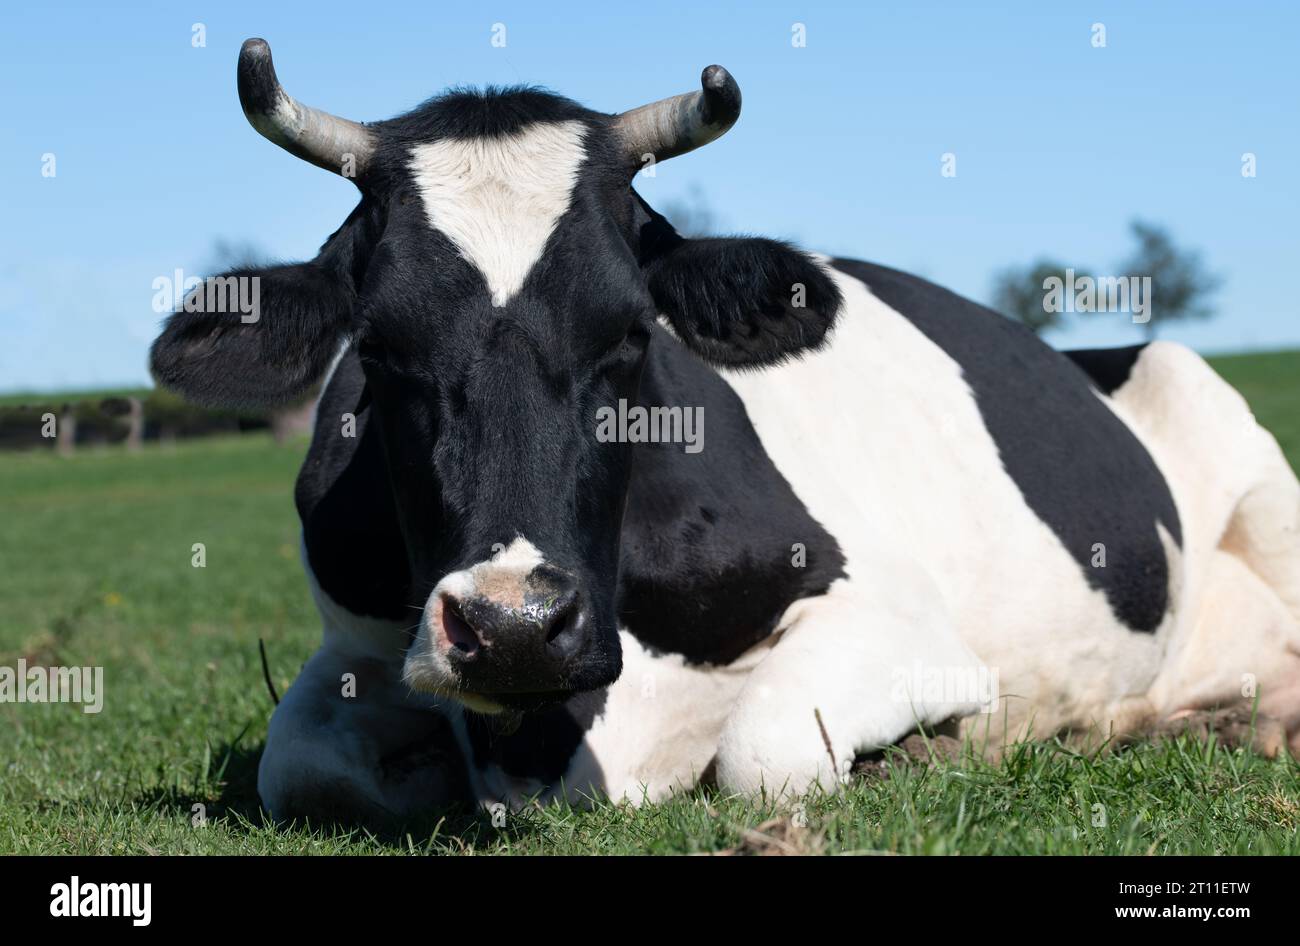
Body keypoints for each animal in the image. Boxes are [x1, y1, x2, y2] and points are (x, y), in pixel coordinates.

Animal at [151, 39, 1300, 826]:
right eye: (379, 348)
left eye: (628, 330)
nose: (516, 624)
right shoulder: (355, 641)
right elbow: (300, 765)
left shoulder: (896, 618)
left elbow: (770, 749)